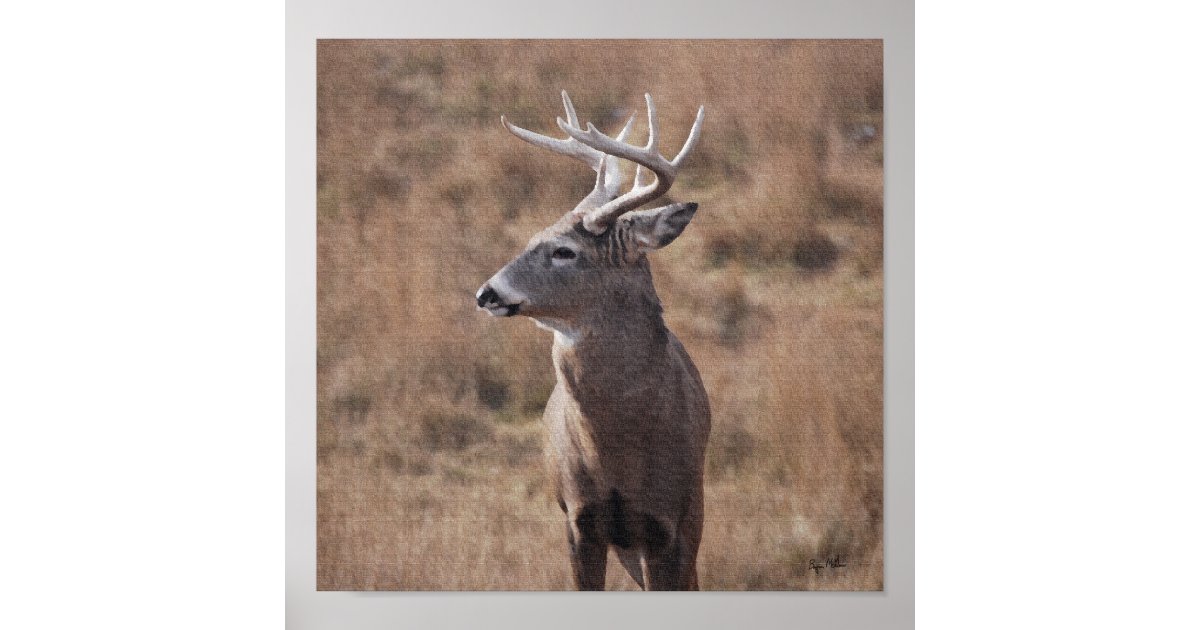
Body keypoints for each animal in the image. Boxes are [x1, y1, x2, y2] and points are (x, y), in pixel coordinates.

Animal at [475, 91, 711, 591]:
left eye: (565, 251)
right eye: (534, 234)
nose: (487, 293)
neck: (619, 450)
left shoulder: (670, 523)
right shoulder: (579, 521)